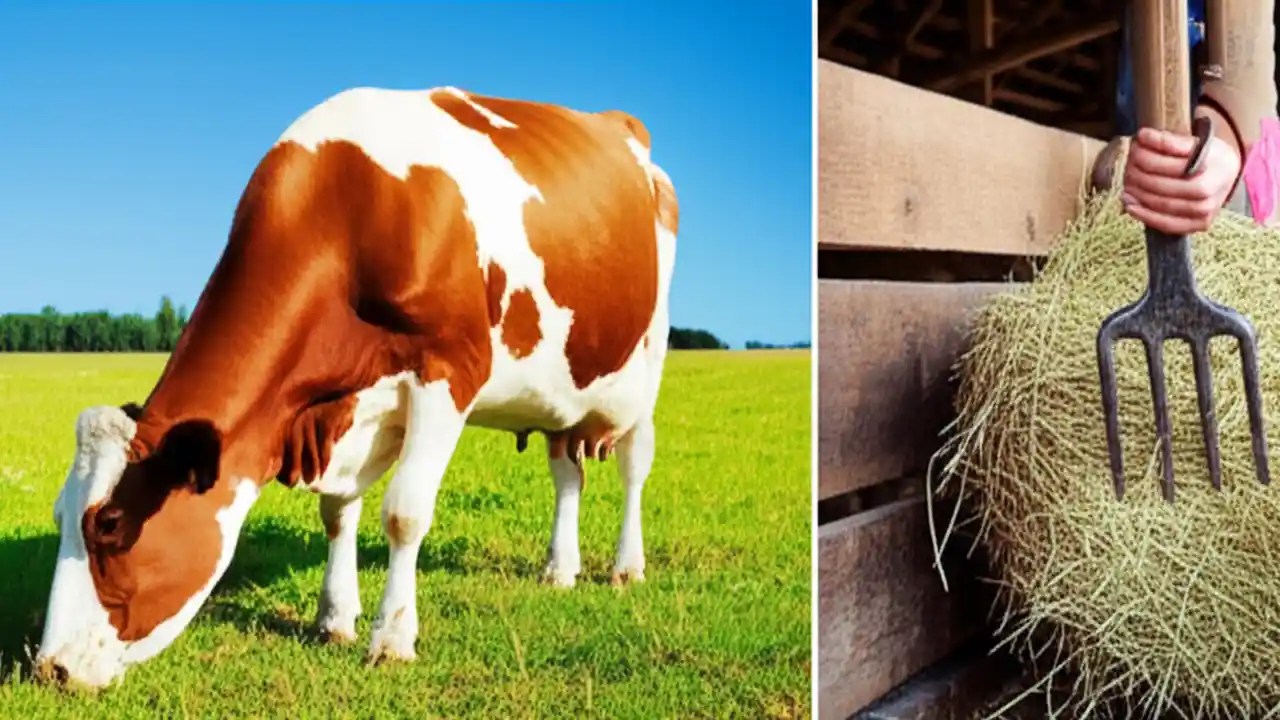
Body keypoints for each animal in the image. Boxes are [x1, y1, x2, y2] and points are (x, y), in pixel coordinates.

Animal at [34, 85, 678, 689]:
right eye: (60, 516)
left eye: (109, 524)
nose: (50, 669)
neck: (344, 217)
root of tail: (622, 126)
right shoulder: (343, 412)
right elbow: (338, 512)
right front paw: (335, 619)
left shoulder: (449, 371)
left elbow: (404, 514)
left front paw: (392, 639)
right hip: (565, 389)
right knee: (567, 471)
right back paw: (559, 569)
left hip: (648, 359)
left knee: (634, 466)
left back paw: (626, 566)